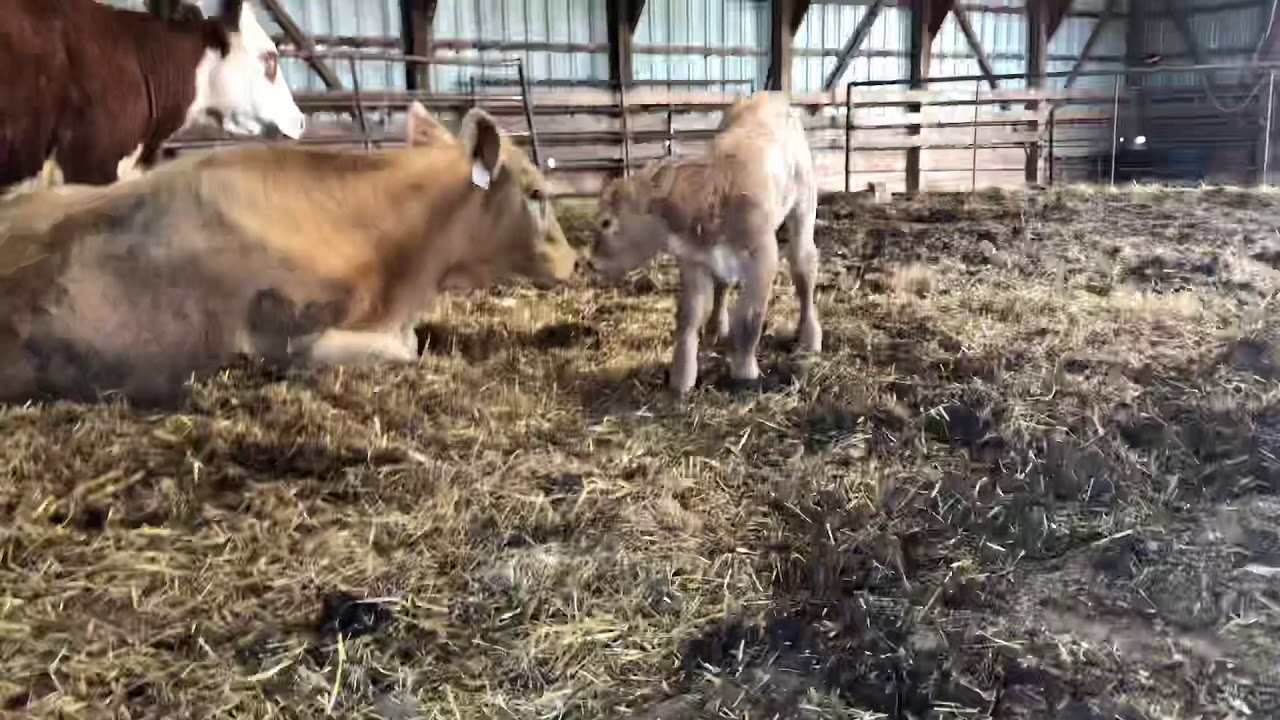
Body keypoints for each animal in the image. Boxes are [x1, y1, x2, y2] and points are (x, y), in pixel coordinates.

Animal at [587, 91, 821, 393]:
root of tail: (769, 96)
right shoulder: (694, 261)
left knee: (803, 267)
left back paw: (810, 337)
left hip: (804, 205)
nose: (590, 261)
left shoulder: (762, 257)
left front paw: (745, 374)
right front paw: (681, 379)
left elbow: (749, 318)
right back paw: (715, 329)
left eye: (606, 222)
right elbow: (687, 316)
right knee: (723, 285)